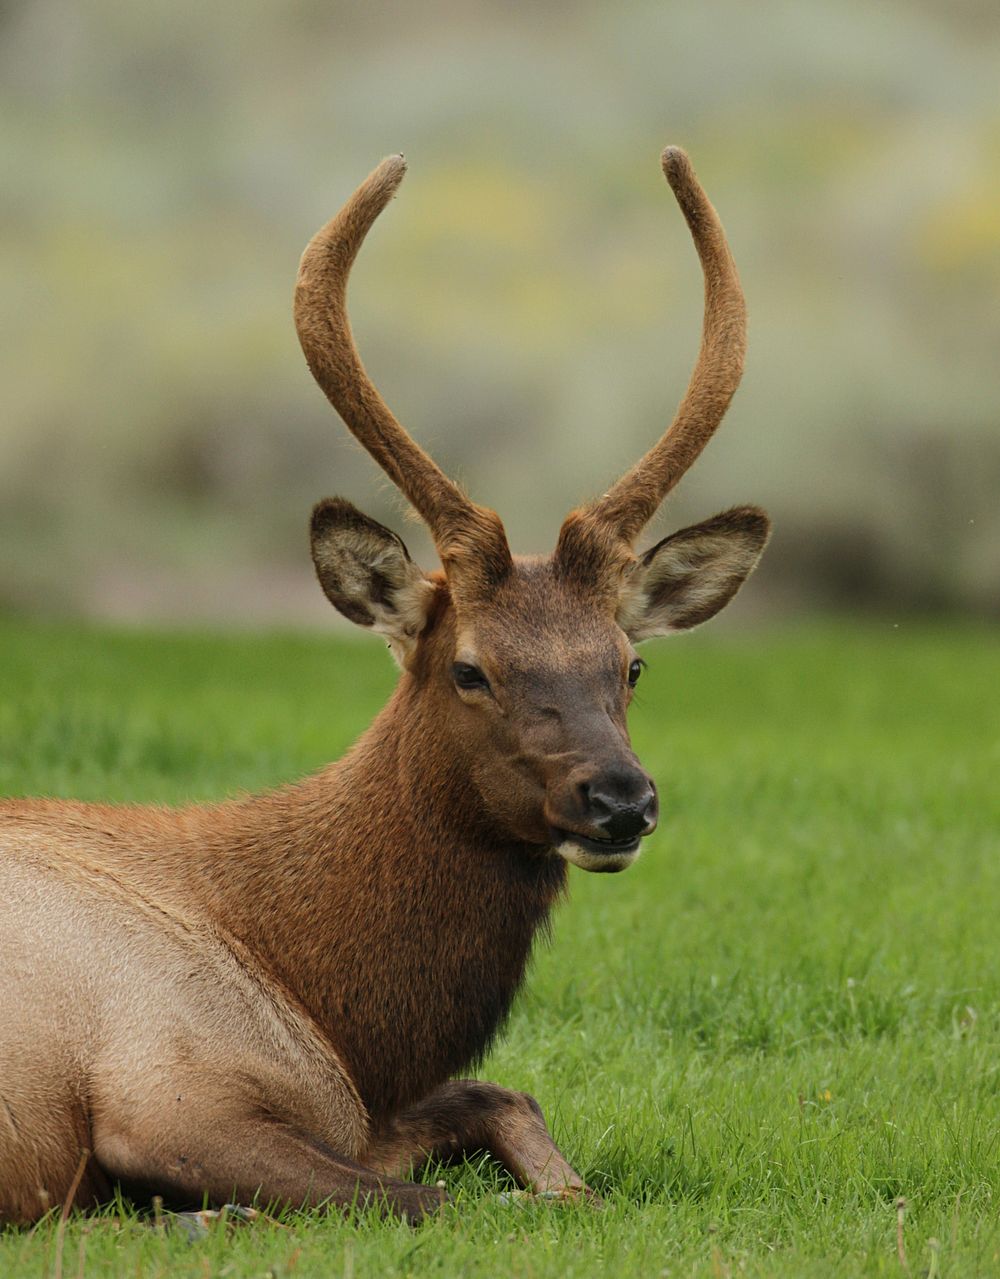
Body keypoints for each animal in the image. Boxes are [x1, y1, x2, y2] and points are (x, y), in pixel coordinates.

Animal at [0, 147, 769, 1226]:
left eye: (630, 663)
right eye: (470, 667)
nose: (620, 798)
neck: (329, 1008)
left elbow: (515, 1107)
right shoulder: (164, 1090)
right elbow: (451, 1197)